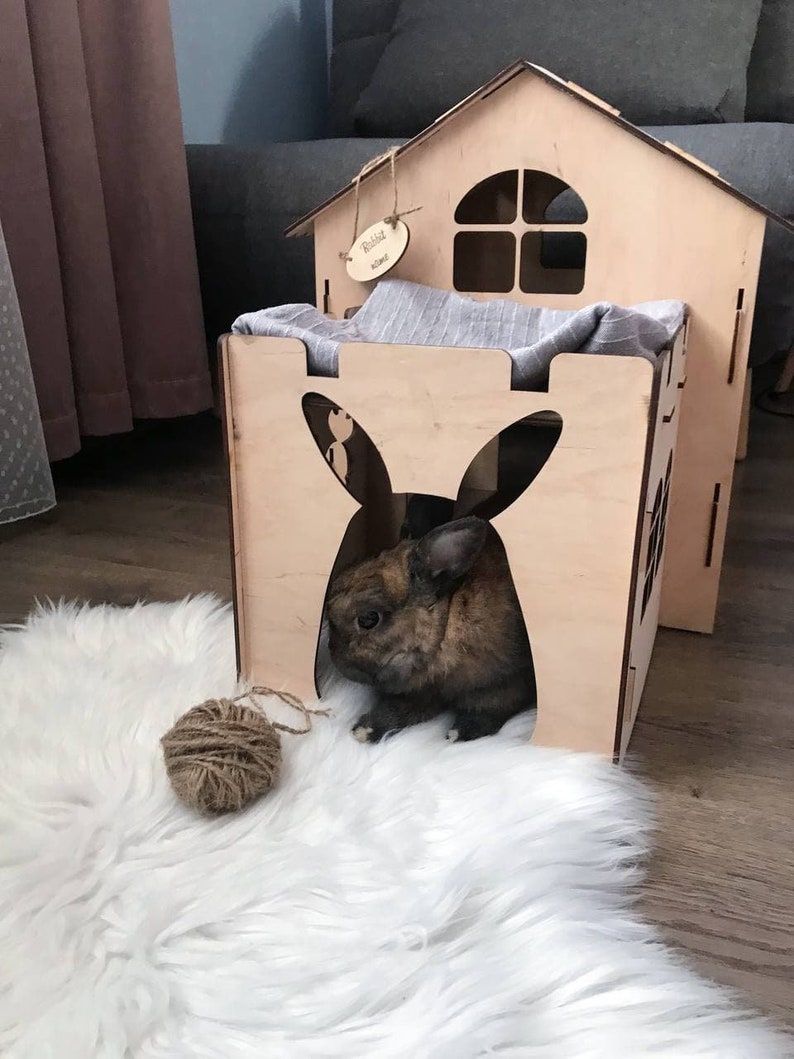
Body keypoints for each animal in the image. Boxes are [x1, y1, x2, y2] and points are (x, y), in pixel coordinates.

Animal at [302, 393, 563, 741]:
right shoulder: (420, 694)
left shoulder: (505, 686)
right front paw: (364, 729)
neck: (445, 630)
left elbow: (488, 711)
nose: (336, 659)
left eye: (369, 619)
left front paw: (459, 733)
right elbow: (401, 711)